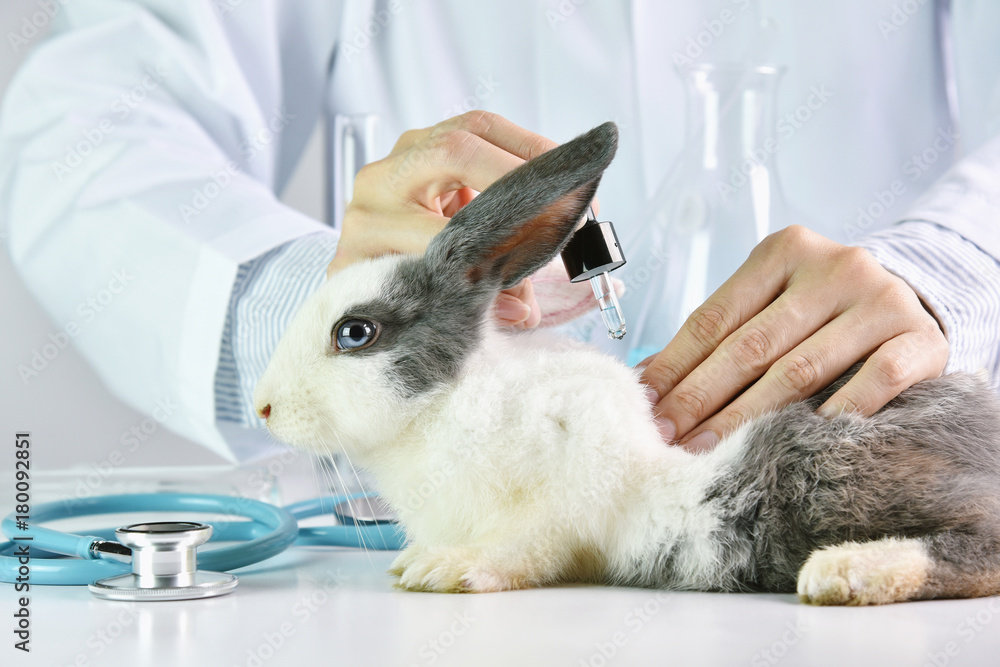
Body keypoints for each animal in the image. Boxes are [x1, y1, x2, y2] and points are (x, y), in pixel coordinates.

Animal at [254, 122, 1000, 605]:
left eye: (355, 331)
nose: (262, 407)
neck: (447, 405)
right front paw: (414, 559)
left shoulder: (559, 498)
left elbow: (518, 549)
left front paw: (442, 568)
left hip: (821, 474)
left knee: (984, 545)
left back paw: (846, 572)